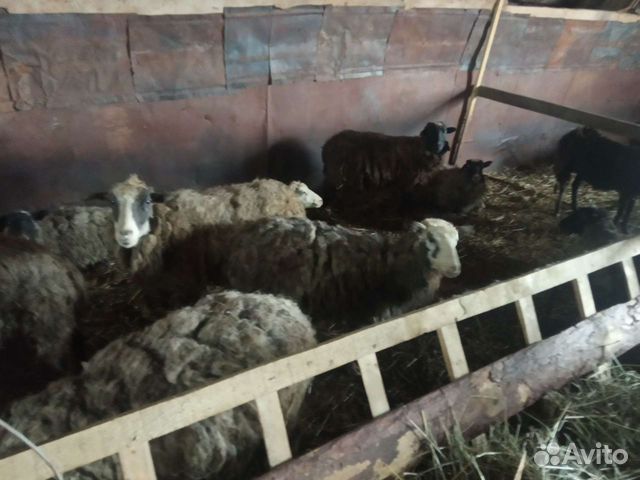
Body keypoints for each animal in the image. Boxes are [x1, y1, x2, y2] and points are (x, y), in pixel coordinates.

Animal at [322, 121, 456, 197]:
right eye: (428, 131)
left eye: (445, 131)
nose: (438, 145)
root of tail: (327, 144)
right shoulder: (408, 180)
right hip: (339, 174)